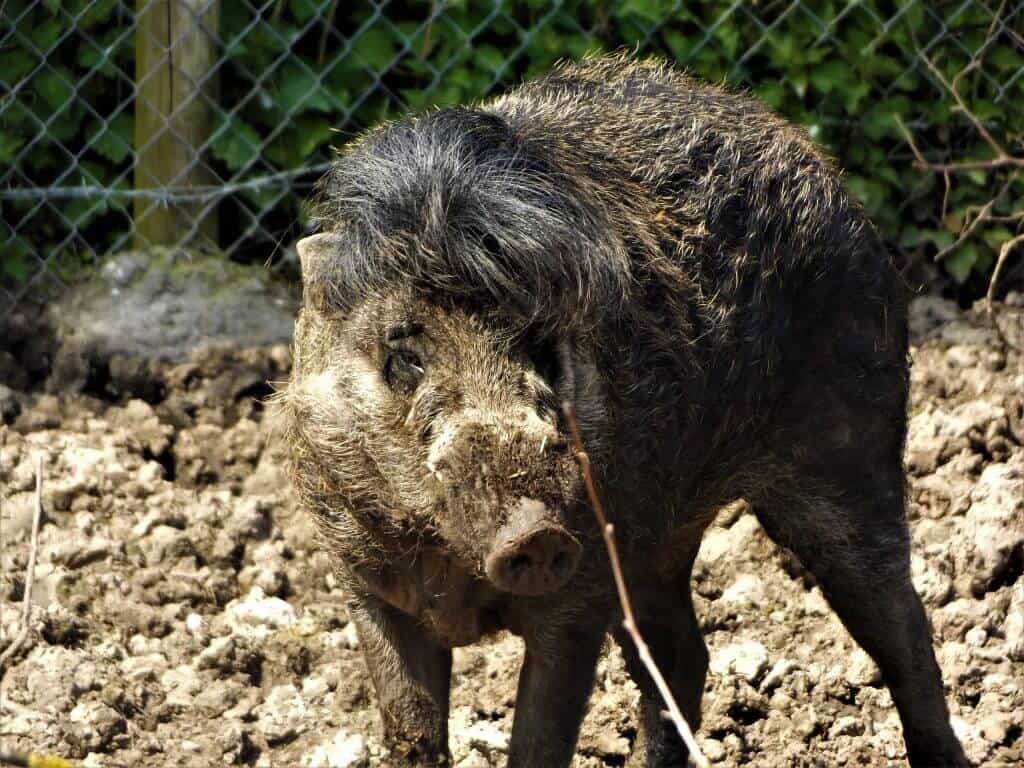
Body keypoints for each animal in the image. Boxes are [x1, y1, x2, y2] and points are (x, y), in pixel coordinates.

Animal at [277, 55, 968, 767]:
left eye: (538, 341)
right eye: (403, 356)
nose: (534, 533)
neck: (458, 571)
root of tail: (808, 153)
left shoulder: (577, 599)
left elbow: (540, 741)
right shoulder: (361, 578)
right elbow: (411, 732)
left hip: (854, 444)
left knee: (902, 623)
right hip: (655, 546)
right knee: (687, 656)